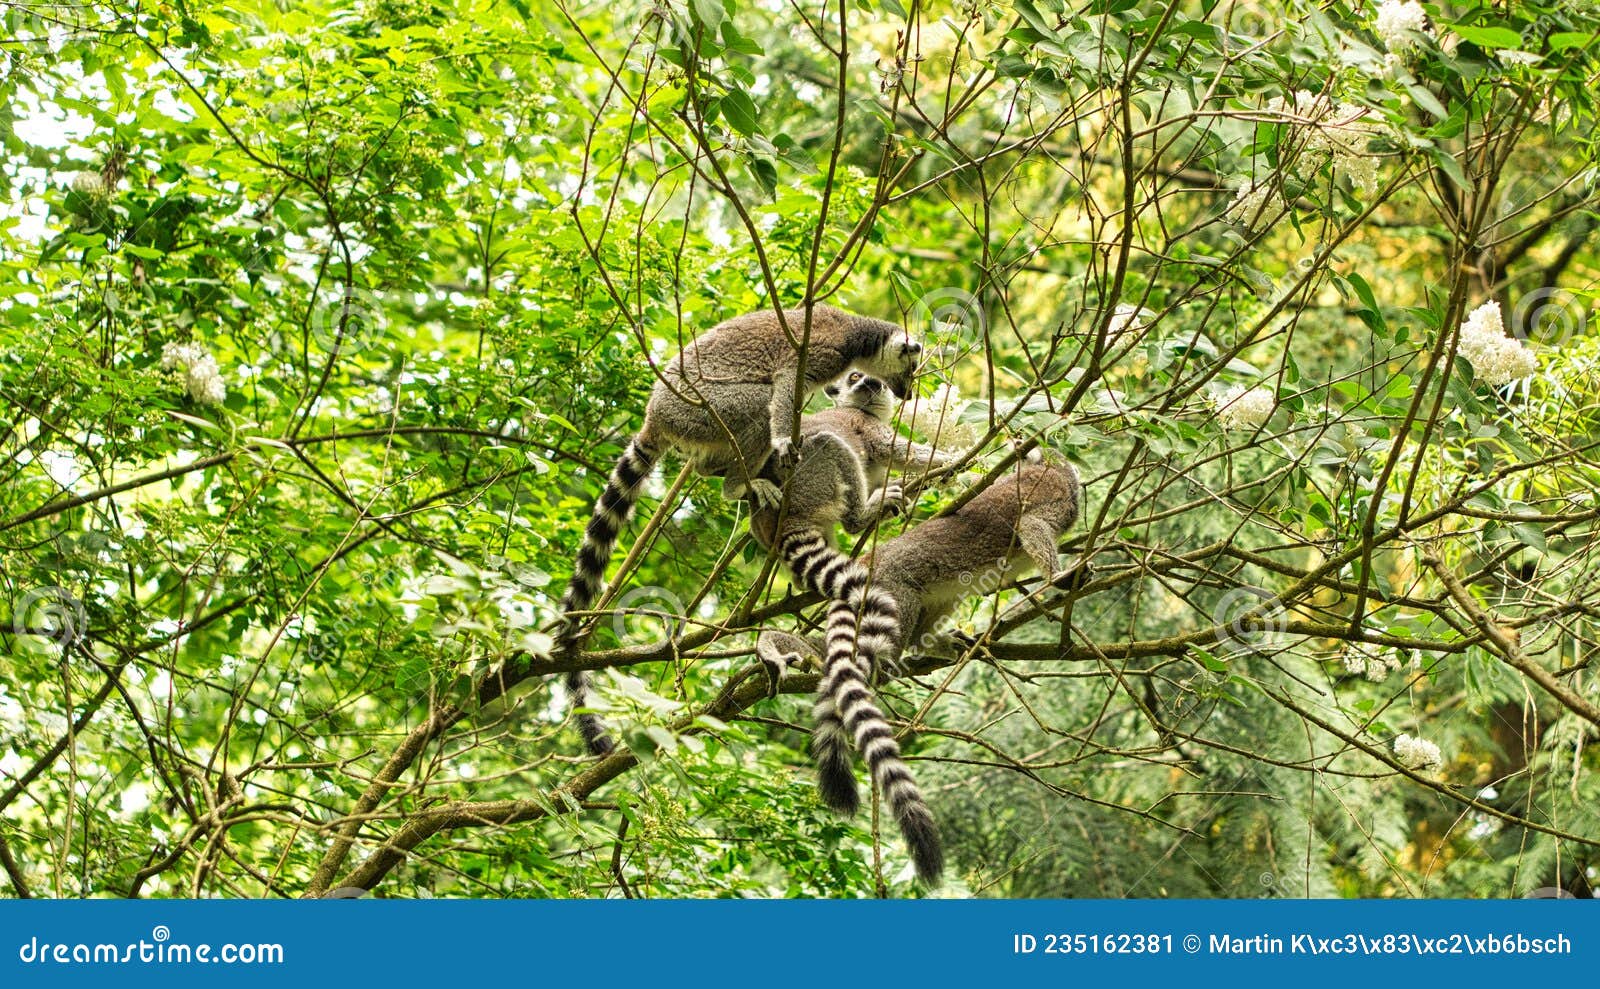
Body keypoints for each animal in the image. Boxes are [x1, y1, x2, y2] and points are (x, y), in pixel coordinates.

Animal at [557, 305, 924, 756]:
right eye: (907, 369)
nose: (907, 393)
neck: (857, 333)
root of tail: (654, 414)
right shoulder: (821, 350)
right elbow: (786, 388)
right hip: (699, 410)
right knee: (762, 402)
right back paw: (742, 484)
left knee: (708, 458)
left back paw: (725, 475)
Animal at [761, 459, 1081, 884]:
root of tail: (866, 561)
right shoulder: (1052, 498)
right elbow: (1031, 526)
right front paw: (1063, 578)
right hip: (891, 588)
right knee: (896, 620)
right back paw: (885, 662)